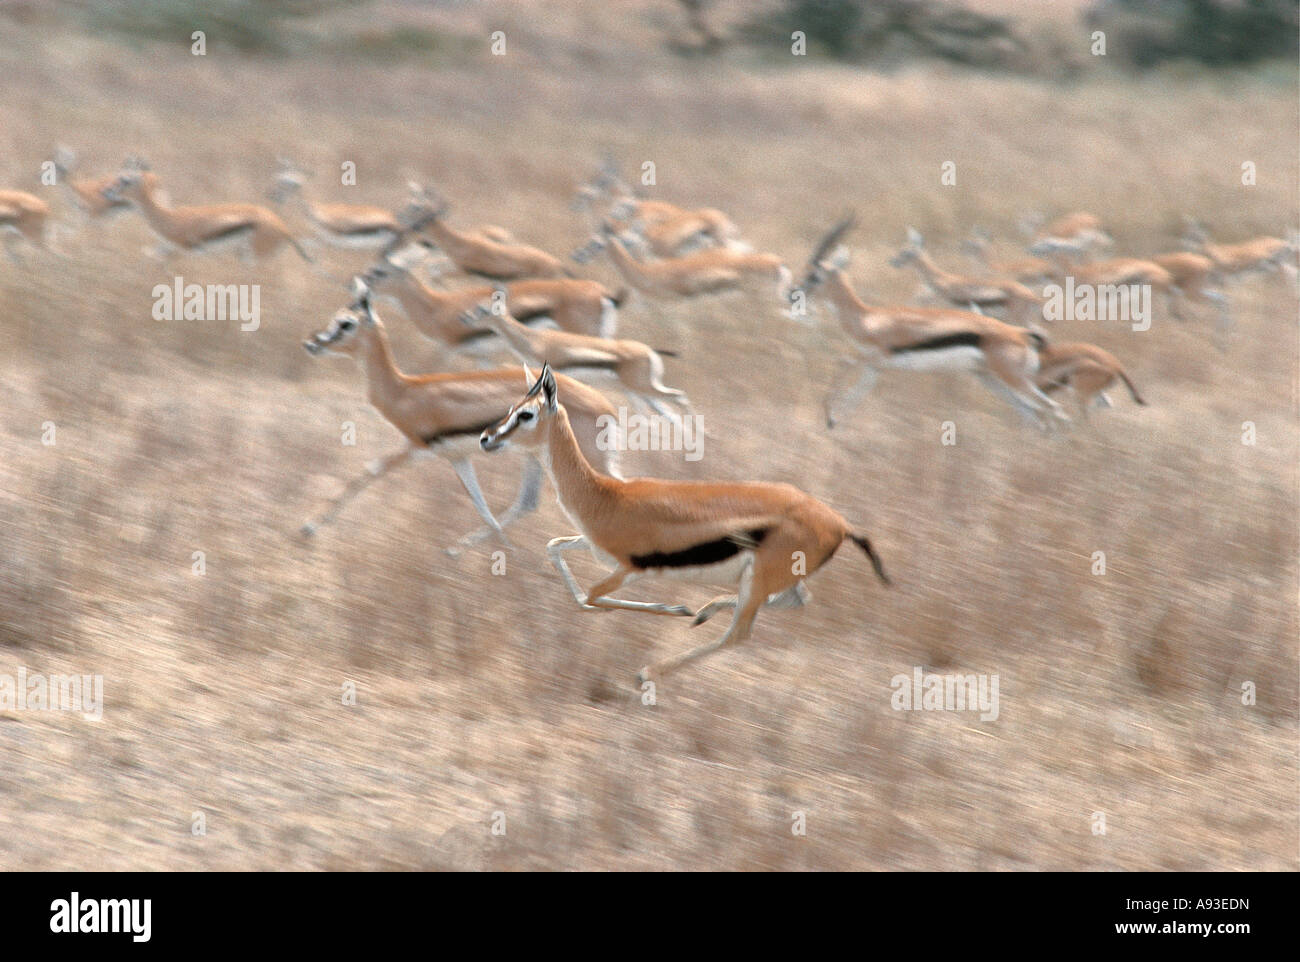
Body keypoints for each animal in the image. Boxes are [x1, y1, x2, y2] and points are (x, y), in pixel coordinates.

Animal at [103, 160, 312, 264]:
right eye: (118, 176)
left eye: (125, 180)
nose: (106, 192)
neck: (169, 218)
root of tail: (284, 228)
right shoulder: (165, 249)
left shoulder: (179, 252)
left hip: (253, 259)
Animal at [301, 279, 622, 554]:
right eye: (336, 316)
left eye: (347, 323)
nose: (313, 344)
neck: (405, 390)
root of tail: (607, 407)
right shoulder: (458, 458)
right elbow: (483, 509)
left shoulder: (413, 448)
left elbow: (367, 473)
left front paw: (308, 527)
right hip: (536, 458)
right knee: (527, 502)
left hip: (587, 460)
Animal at [462, 298, 691, 417]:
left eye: (482, 309)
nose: (464, 317)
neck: (535, 339)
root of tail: (651, 351)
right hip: (638, 390)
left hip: (643, 388)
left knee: (679, 397)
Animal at [479, 364, 889, 684]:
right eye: (512, 407)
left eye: (526, 415)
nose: (485, 438)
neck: (605, 496)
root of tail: (840, 522)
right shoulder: (594, 546)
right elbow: (556, 551)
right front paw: (676, 609)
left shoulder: (631, 567)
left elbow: (592, 594)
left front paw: (671, 609)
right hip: (768, 578)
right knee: (795, 600)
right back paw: (704, 610)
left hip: (758, 580)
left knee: (739, 635)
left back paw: (648, 671)